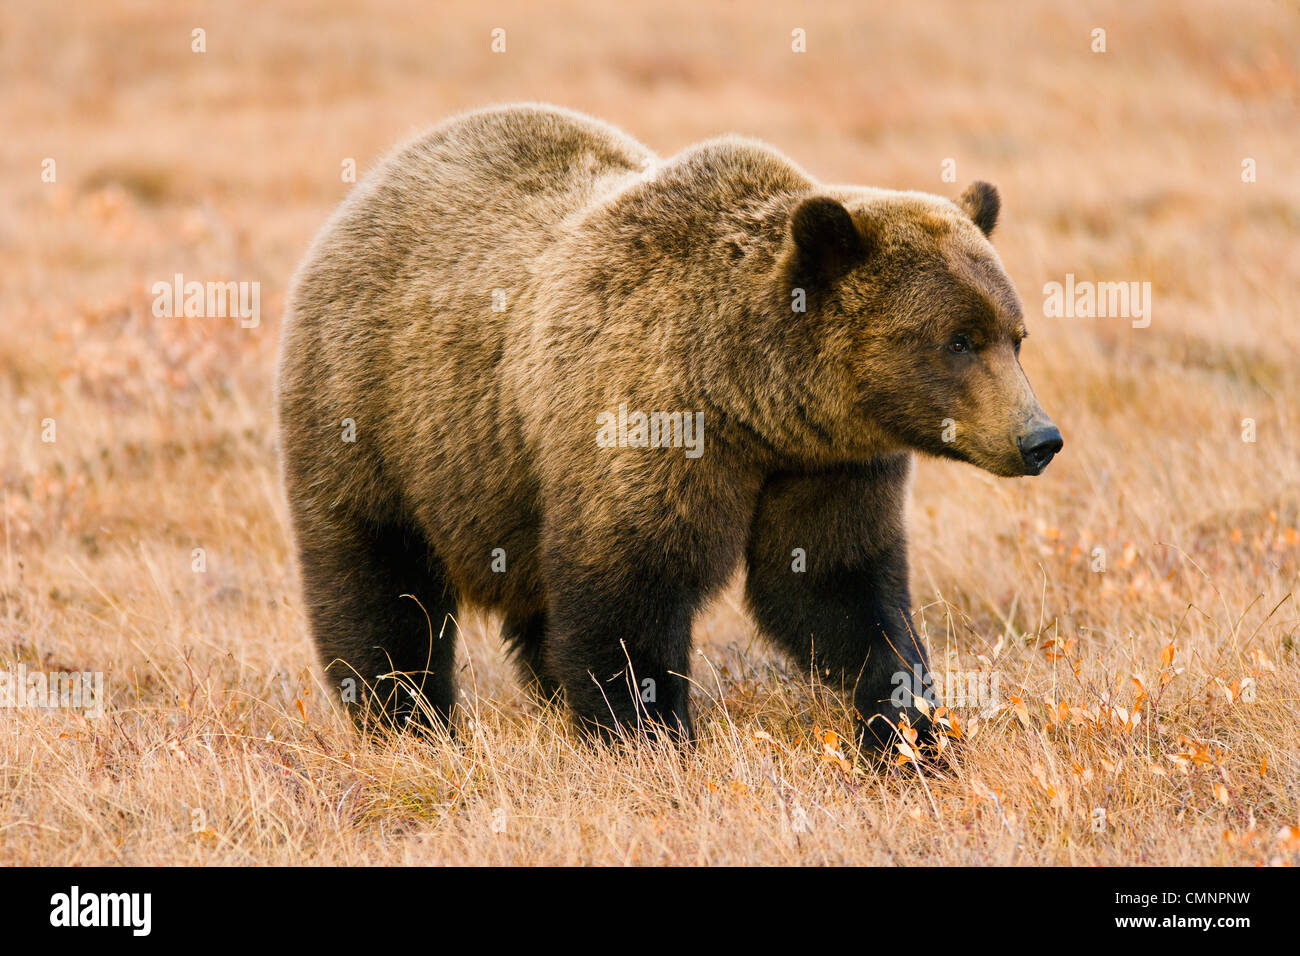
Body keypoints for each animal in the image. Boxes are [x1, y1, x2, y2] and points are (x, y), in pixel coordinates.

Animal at [275, 103, 1061, 751]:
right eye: (957, 340)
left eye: (1015, 336)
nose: (1039, 439)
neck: (750, 403)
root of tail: (375, 182)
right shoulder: (651, 426)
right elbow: (629, 595)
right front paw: (649, 737)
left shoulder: (826, 465)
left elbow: (839, 588)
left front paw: (910, 732)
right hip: (381, 419)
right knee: (380, 586)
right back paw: (408, 721)